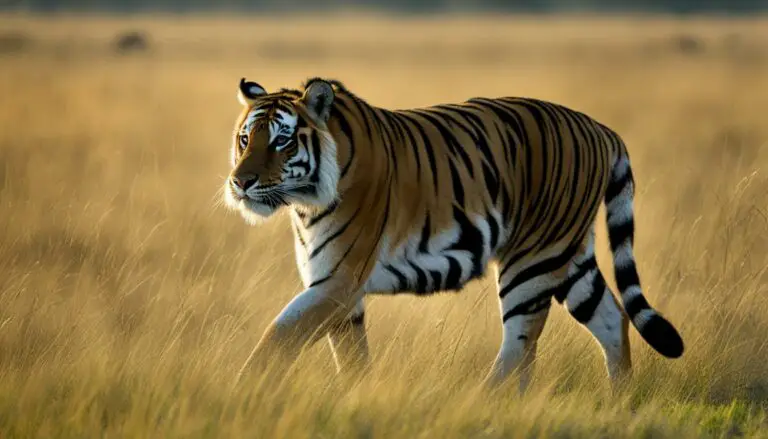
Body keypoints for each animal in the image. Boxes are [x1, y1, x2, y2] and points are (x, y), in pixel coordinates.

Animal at [223, 77, 684, 391]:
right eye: (245, 139)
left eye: (281, 141)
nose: (240, 182)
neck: (304, 204)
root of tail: (600, 129)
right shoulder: (334, 285)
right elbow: (349, 355)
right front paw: (357, 394)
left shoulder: (339, 280)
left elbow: (278, 336)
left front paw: (242, 390)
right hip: (571, 258)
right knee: (612, 319)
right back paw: (619, 403)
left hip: (533, 260)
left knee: (521, 346)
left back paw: (484, 401)